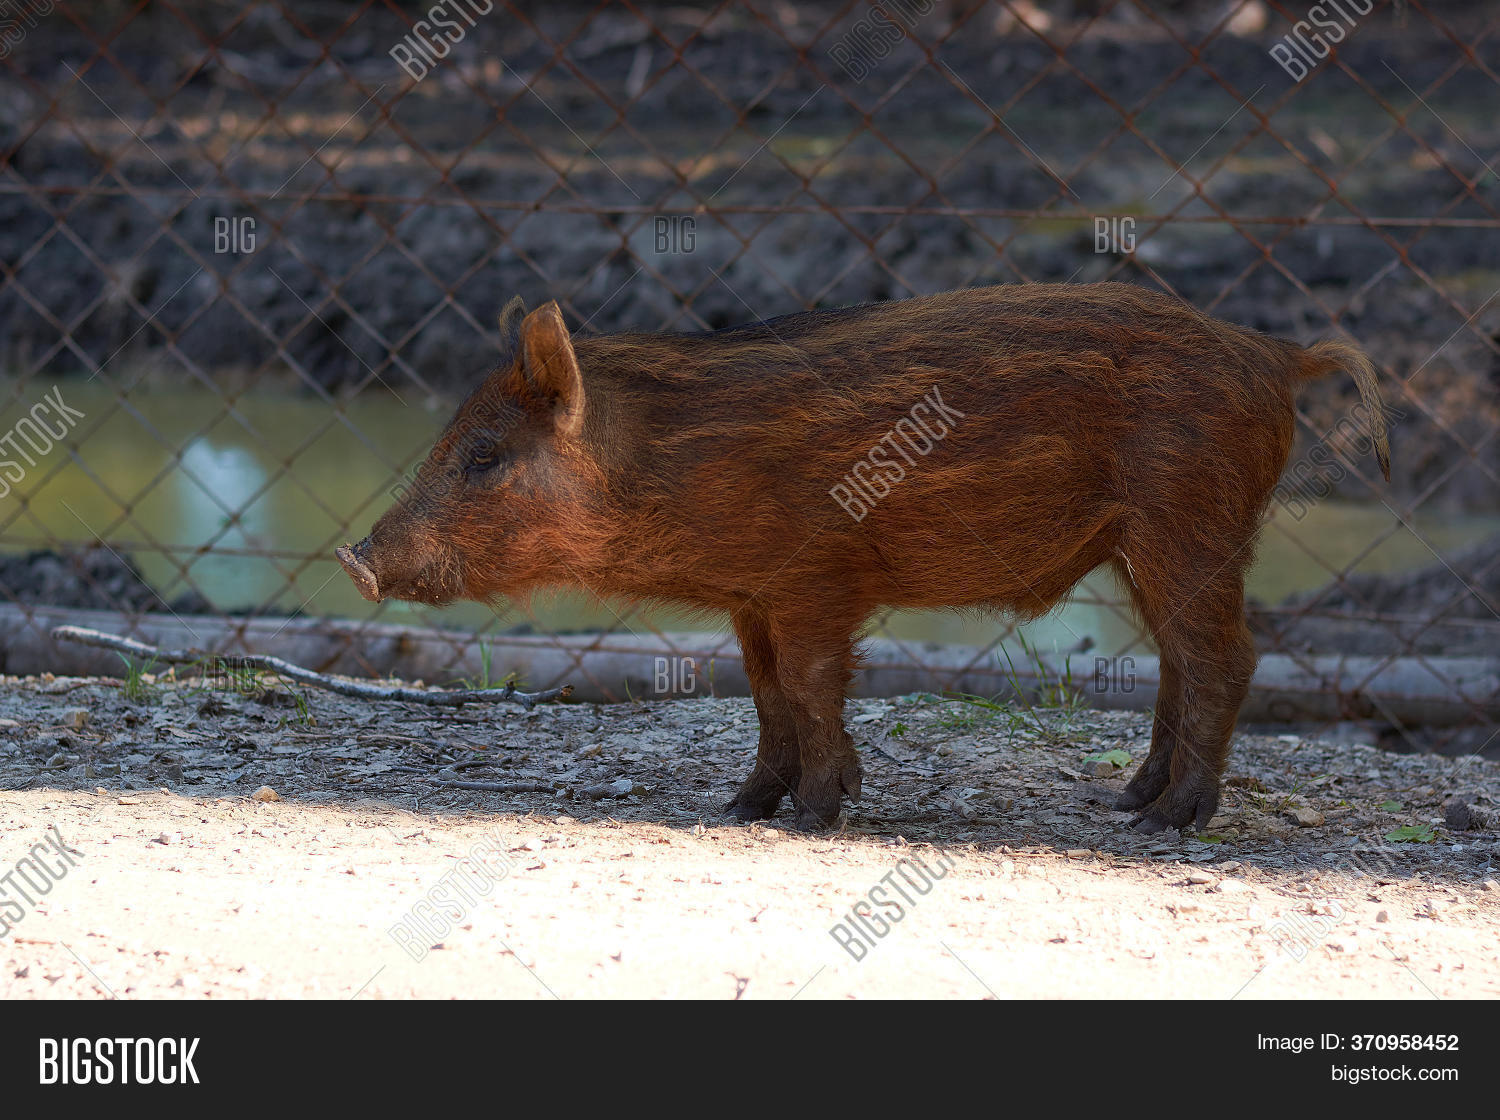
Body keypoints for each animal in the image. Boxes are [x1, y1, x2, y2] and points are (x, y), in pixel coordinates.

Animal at [338, 283, 1390, 833]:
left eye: (483, 455)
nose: (356, 558)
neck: (667, 470)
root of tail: (1276, 356)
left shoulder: (814, 578)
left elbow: (810, 685)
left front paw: (812, 814)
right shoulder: (752, 596)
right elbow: (763, 691)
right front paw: (742, 808)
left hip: (1188, 521)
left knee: (1226, 657)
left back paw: (1167, 822)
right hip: (1150, 544)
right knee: (1179, 658)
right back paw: (1127, 797)